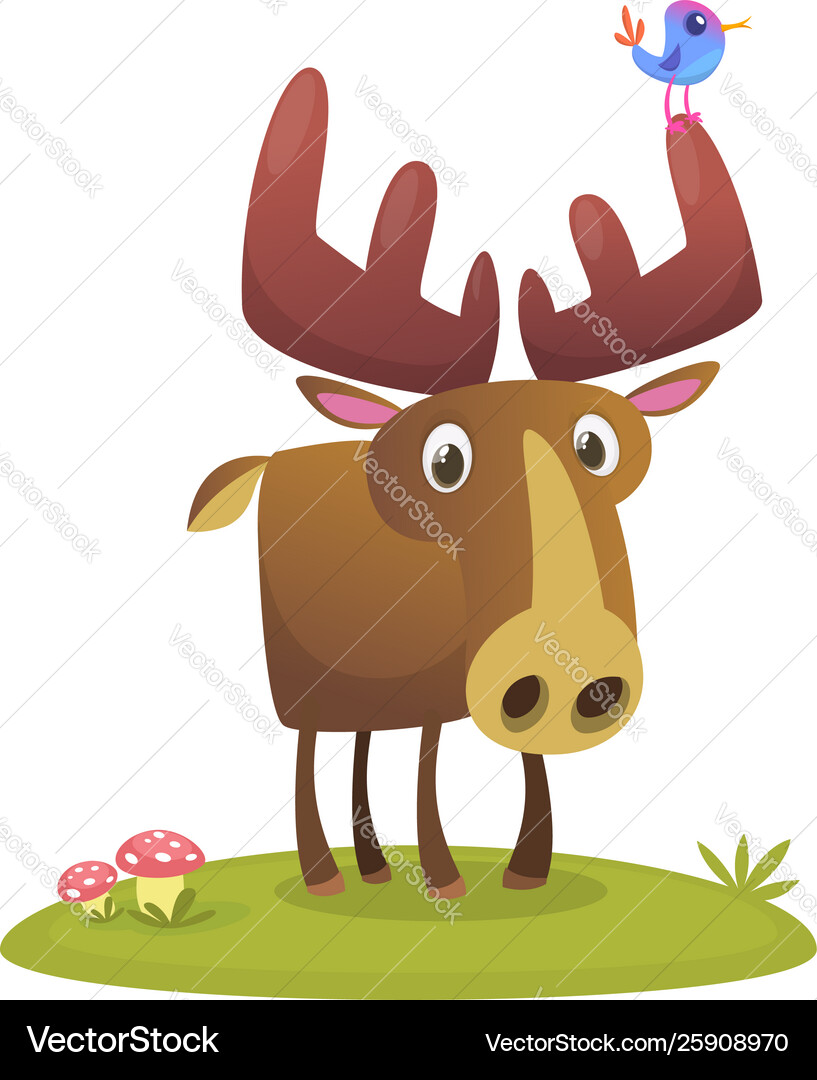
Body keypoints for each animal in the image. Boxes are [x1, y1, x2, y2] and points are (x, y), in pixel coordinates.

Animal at [188, 68, 760, 899]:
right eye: (444, 462)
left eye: (596, 445)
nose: (571, 667)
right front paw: (445, 875)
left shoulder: (441, 682)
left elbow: (477, 754)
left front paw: (518, 869)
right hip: (302, 680)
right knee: (310, 746)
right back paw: (326, 875)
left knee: (364, 739)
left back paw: (372, 868)